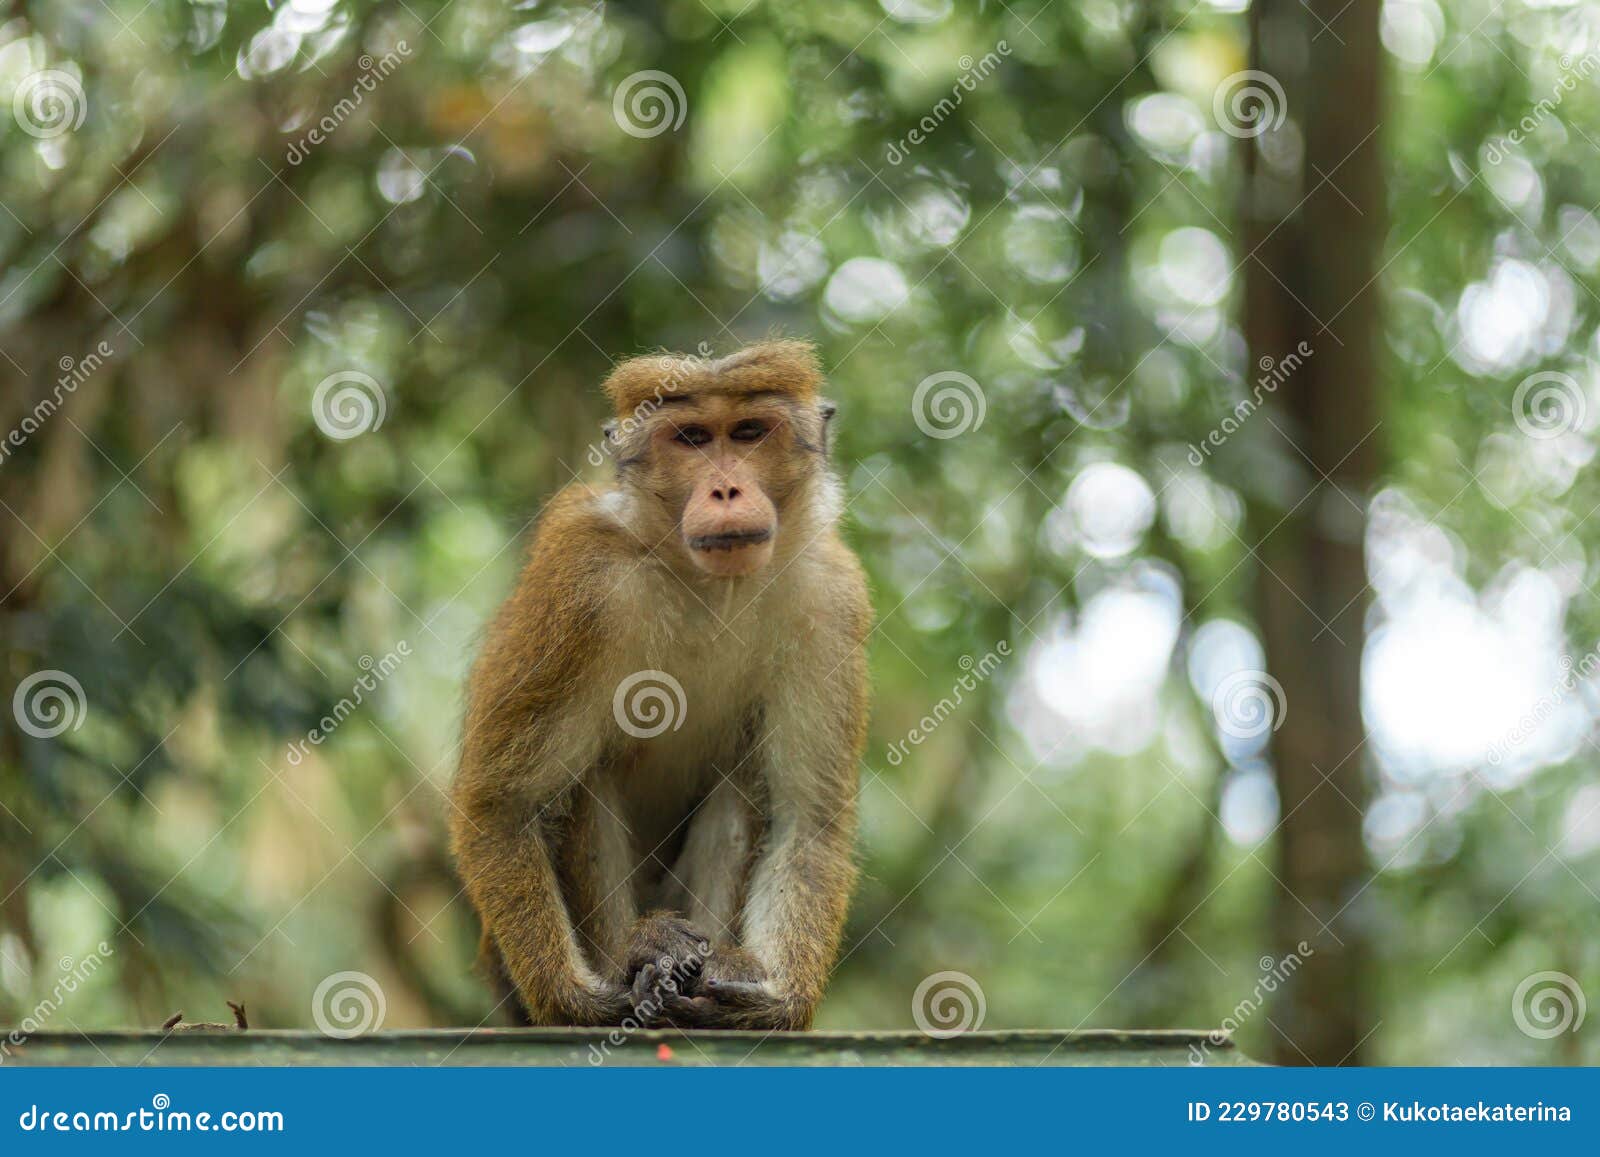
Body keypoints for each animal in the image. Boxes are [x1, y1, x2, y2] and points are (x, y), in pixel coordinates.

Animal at [448, 340, 871, 1031]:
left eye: (749, 433)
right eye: (691, 438)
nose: (726, 488)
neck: (706, 585)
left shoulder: (830, 600)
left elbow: (806, 818)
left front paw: (772, 1000)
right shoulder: (581, 578)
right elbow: (503, 803)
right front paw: (579, 999)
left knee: (739, 783)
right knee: (584, 779)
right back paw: (640, 957)